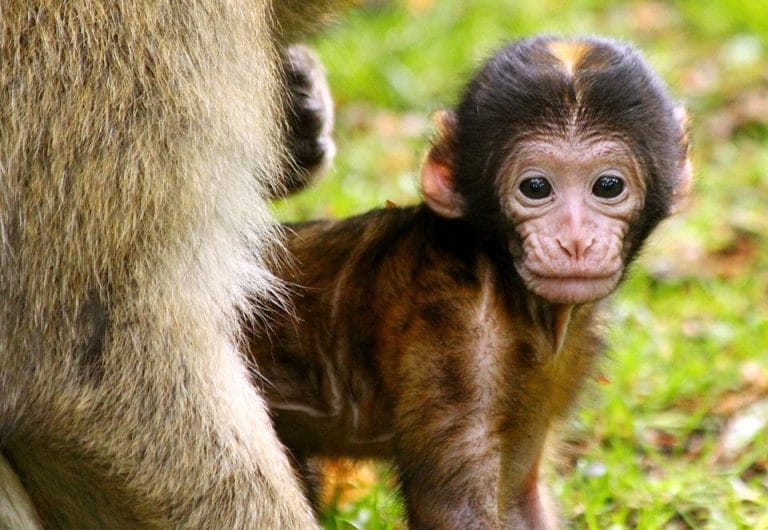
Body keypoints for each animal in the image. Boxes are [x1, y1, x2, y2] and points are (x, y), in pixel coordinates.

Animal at [245, 35, 691, 529]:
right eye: (535, 188)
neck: (509, 287)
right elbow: (452, 507)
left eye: (608, 186)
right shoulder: (459, 336)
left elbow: (518, 494)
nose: (575, 240)